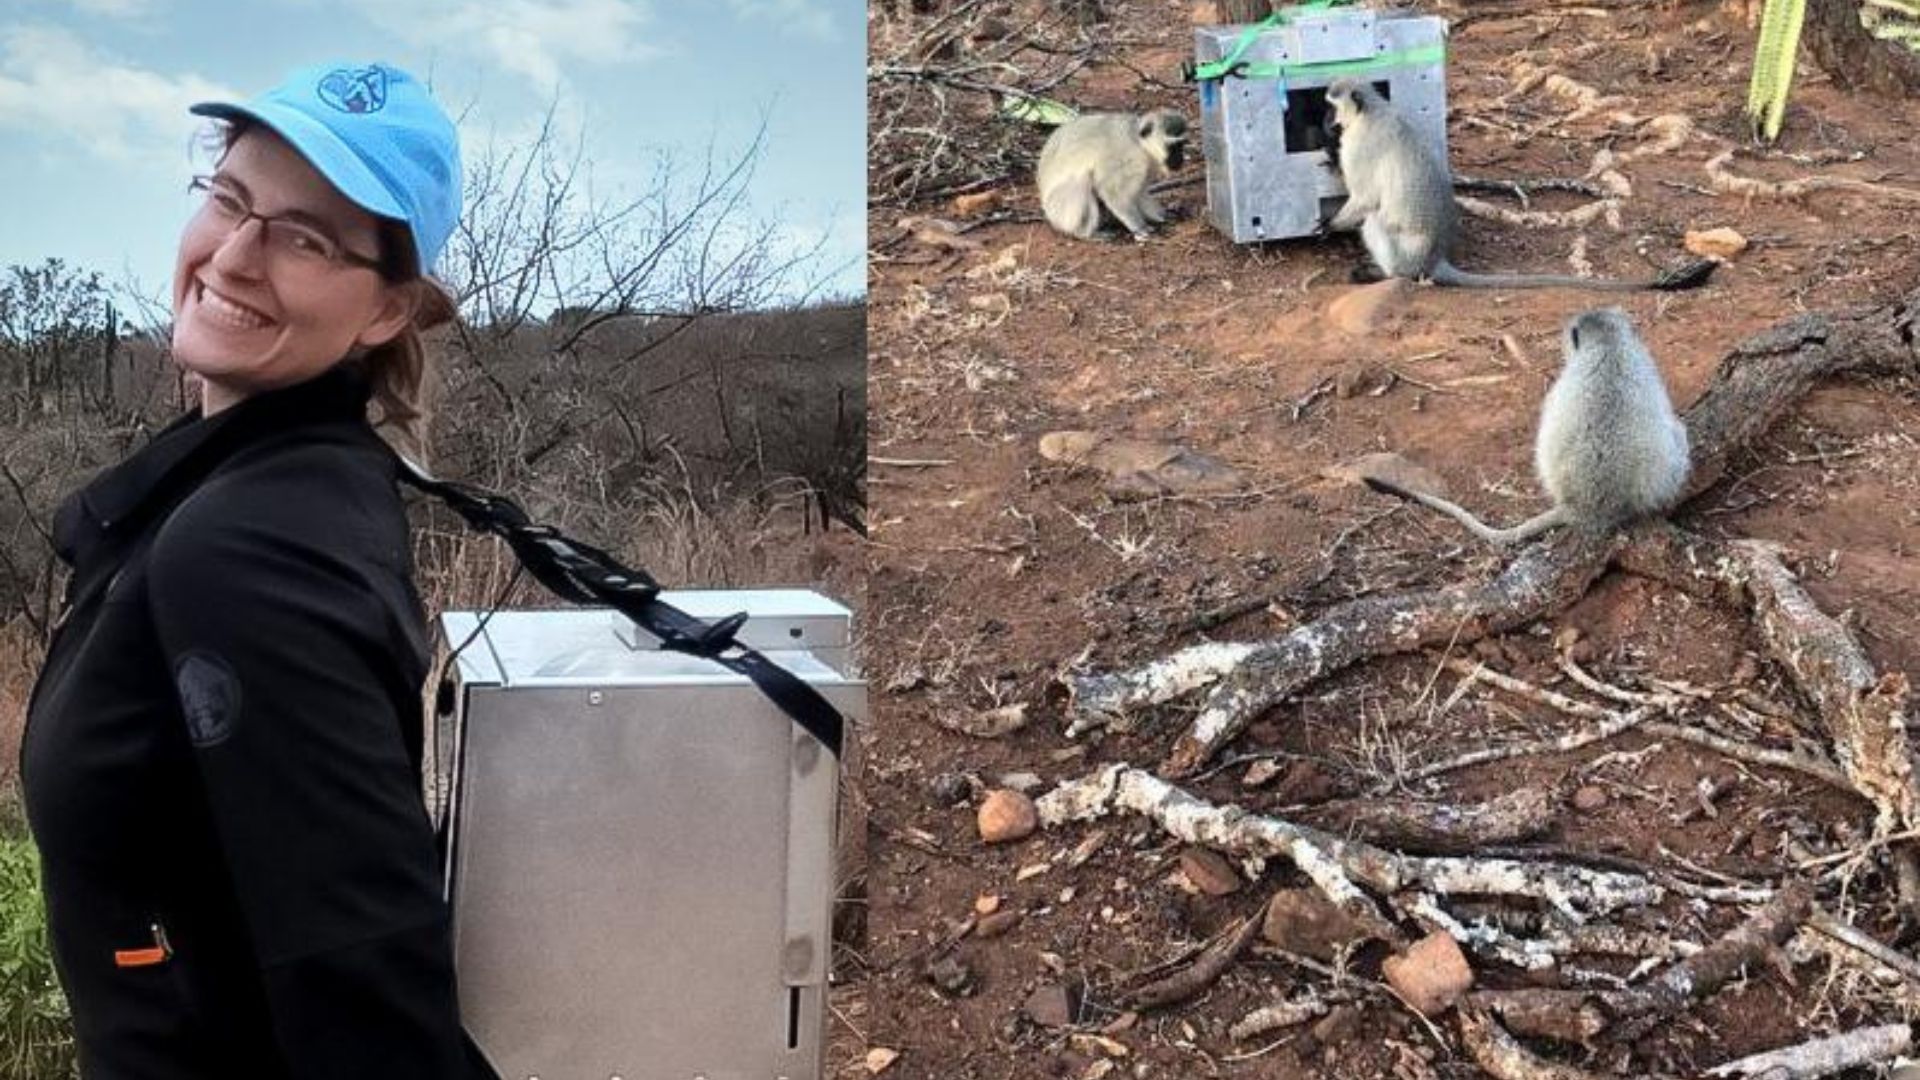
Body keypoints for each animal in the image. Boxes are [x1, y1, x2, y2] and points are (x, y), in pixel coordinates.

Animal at [1036, 111, 1188, 242]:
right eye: (1173, 147)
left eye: (1182, 145)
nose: (1180, 160)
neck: (1140, 144)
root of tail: (1048, 213)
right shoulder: (1128, 158)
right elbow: (1113, 192)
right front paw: (1140, 228)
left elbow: (1140, 193)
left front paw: (1161, 215)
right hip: (1059, 210)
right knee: (1082, 183)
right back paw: (1085, 234)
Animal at [1321, 79, 1715, 291]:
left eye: (1330, 106)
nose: (1326, 122)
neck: (1374, 113)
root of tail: (1435, 258)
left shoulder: (1360, 145)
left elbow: (1364, 197)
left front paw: (1328, 223)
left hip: (1404, 254)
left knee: (1375, 222)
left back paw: (1381, 273)